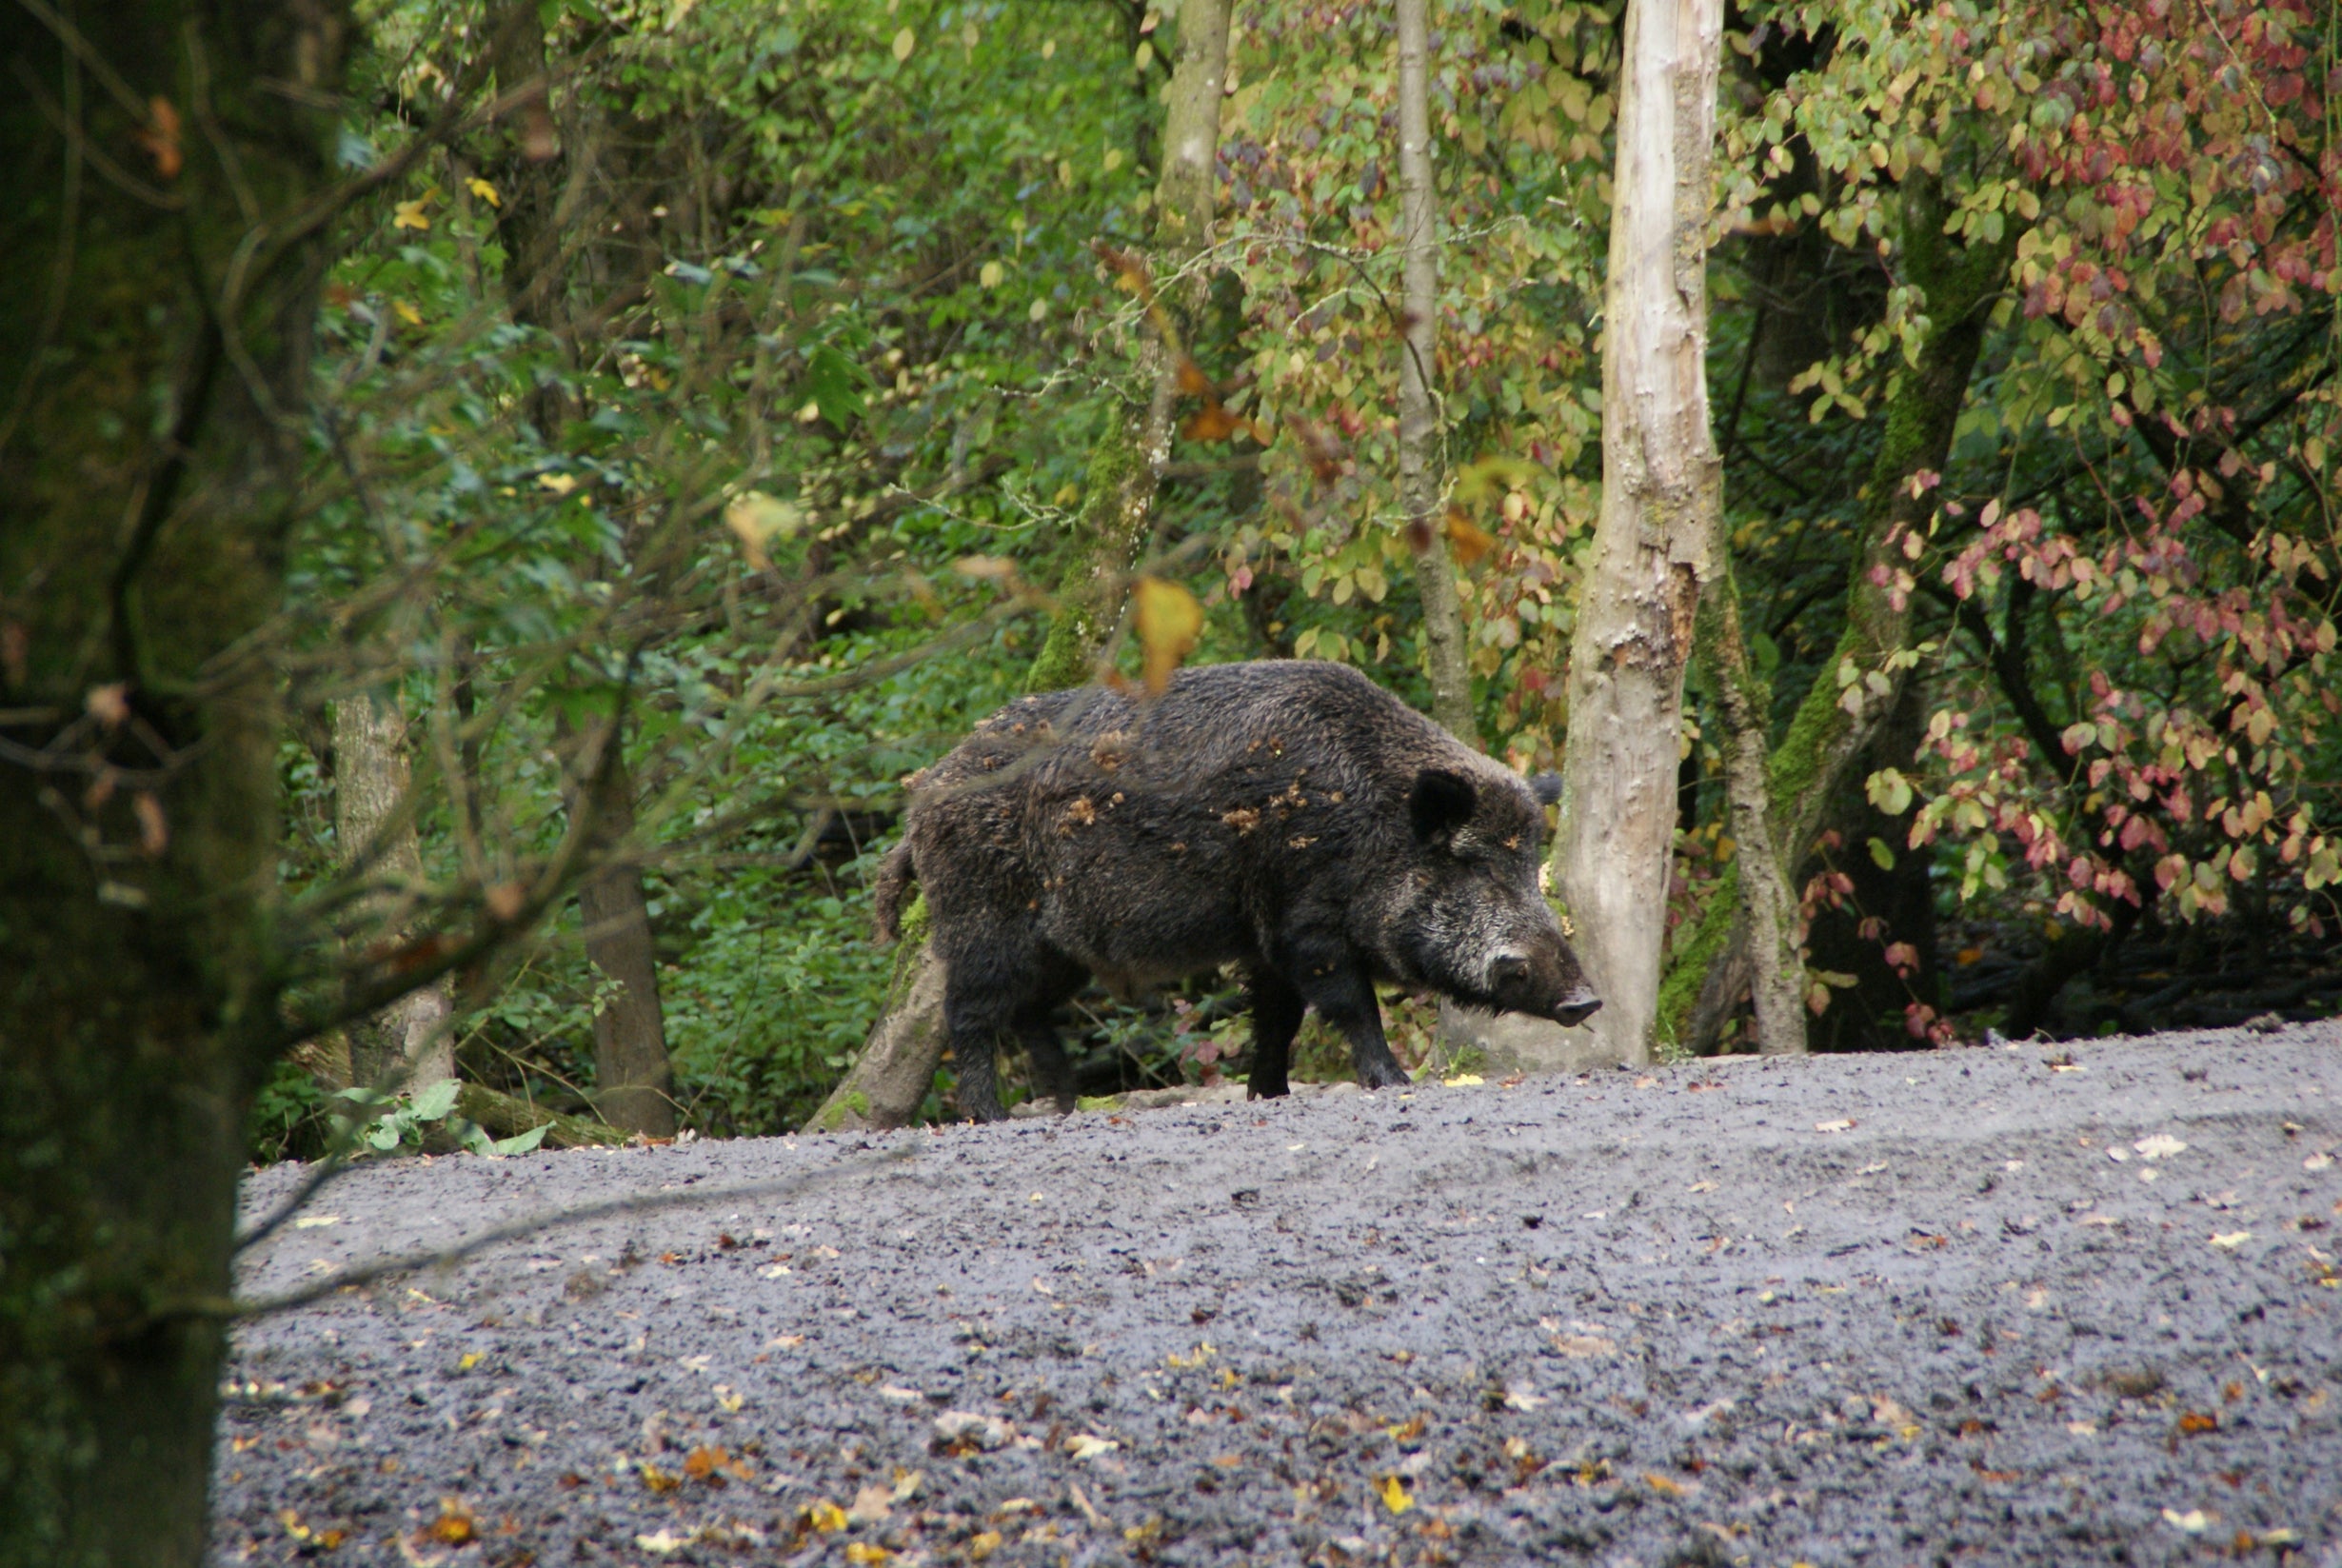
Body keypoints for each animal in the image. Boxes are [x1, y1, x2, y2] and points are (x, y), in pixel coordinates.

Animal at [872, 659, 1599, 1122]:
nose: (1585, 999)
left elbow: (1278, 1018)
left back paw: (1069, 1103)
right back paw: (990, 1116)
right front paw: (1392, 1082)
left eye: (1529, 862)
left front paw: (1270, 1096)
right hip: (981, 920)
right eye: (1473, 863)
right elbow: (1349, 1005)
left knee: (1028, 1013)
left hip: (1060, 951)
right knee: (969, 1014)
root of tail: (923, 802)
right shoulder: (1307, 923)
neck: (1371, 824)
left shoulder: (1267, 939)